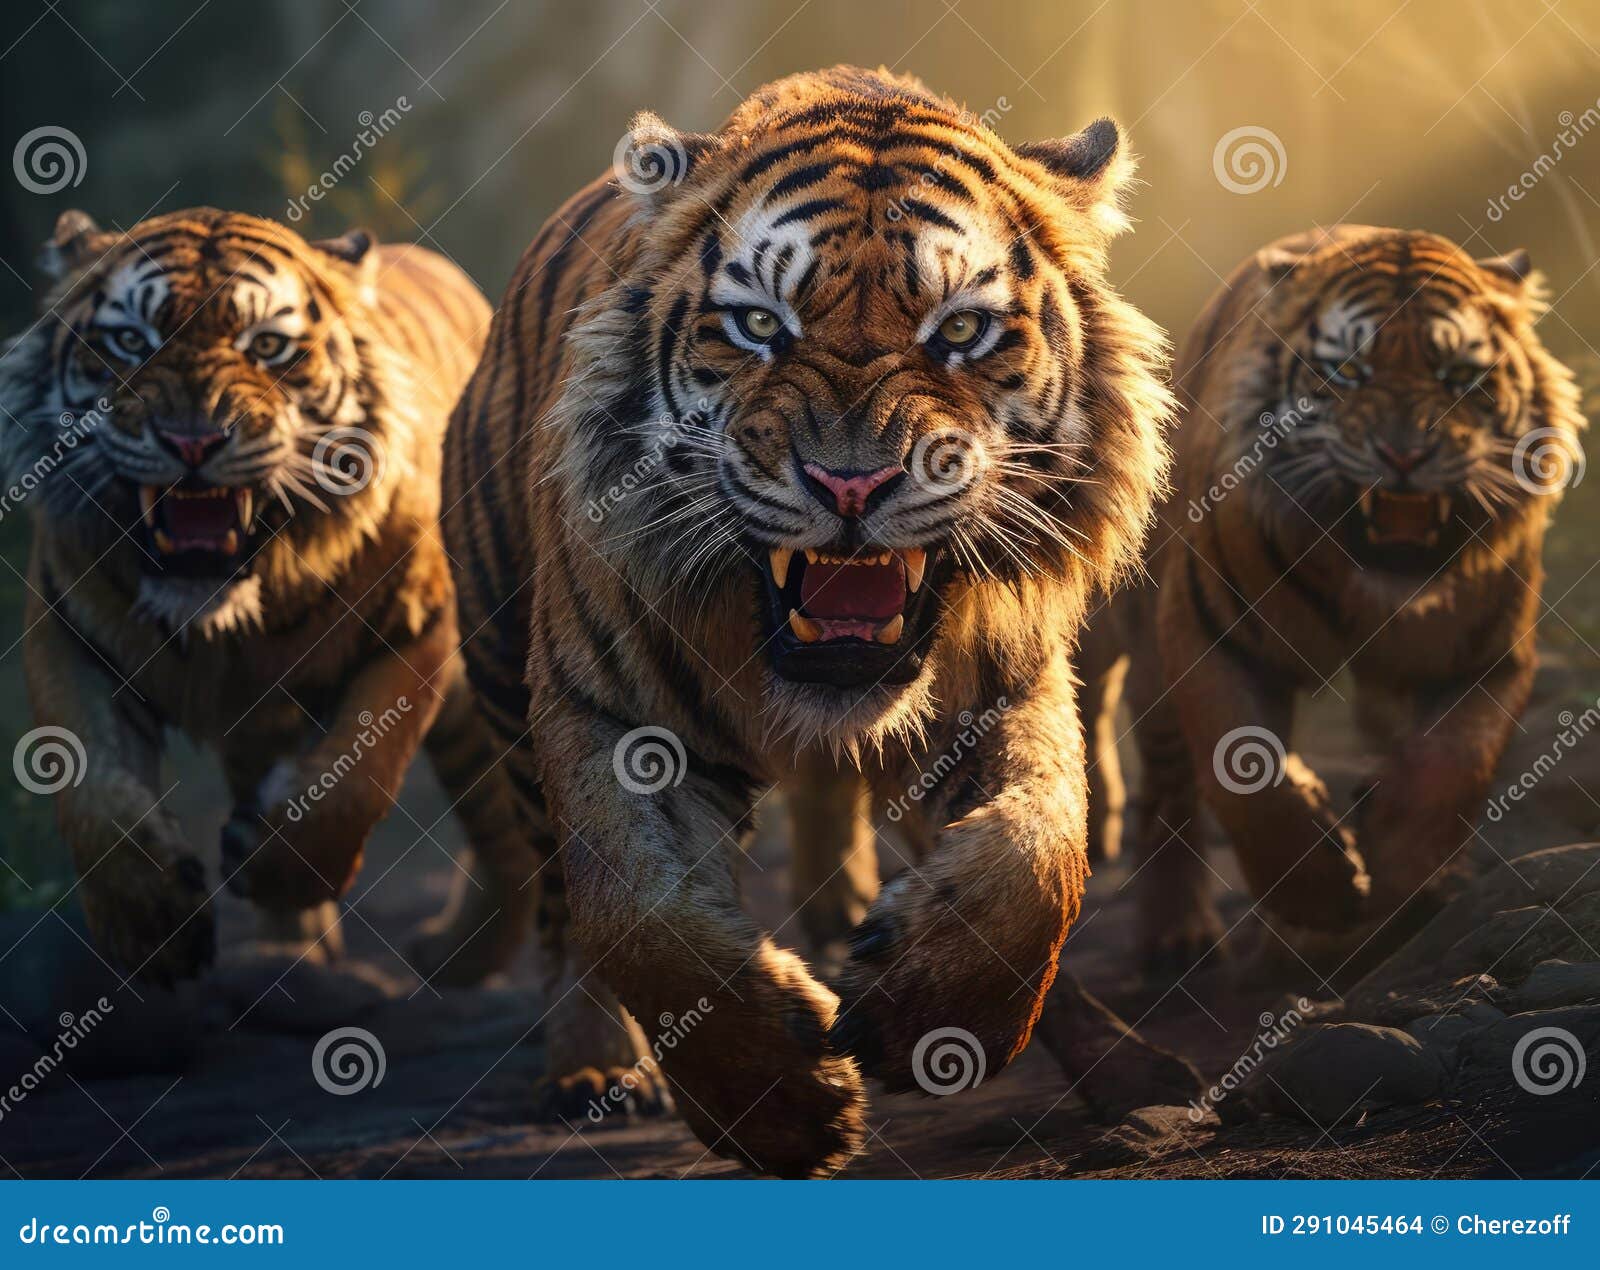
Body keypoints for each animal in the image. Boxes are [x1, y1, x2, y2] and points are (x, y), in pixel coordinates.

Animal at [1, 207, 503, 985]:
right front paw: (151, 929)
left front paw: (277, 871)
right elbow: (96, 793)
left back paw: (467, 959)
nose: (192, 442)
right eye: (129, 342)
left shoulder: (418, 630)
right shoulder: (67, 634)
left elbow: (356, 780)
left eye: (267, 346)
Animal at [421, 66, 1174, 1177]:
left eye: (959, 331)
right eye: (759, 327)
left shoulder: (1011, 688)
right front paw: (781, 1103)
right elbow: (640, 915)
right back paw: (593, 1067)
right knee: (563, 910)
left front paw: (925, 1012)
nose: (852, 482)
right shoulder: (607, 712)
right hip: (501, 667)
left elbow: (1038, 859)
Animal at [1082, 224, 1586, 972]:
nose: (1404, 455)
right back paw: (1164, 920)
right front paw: (1318, 895)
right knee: (1145, 762)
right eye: (1348, 372)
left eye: (1458, 377)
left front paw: (1396, 874)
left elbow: (1451, 769)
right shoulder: (1209, 635)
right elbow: (1246, 784)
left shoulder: (1486, 657)